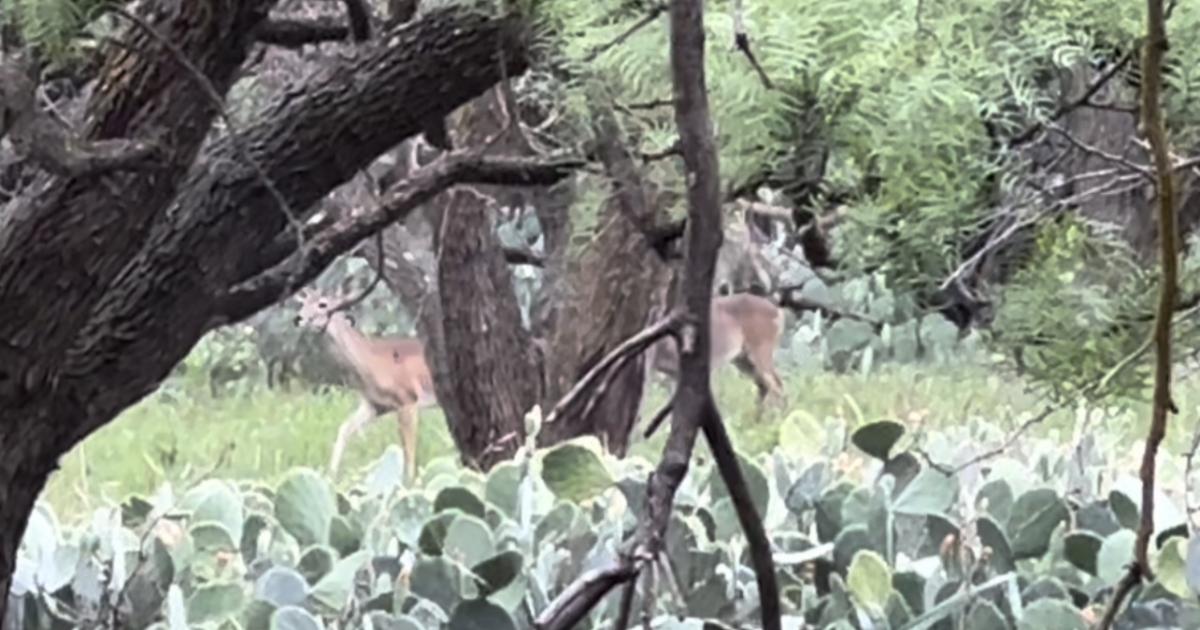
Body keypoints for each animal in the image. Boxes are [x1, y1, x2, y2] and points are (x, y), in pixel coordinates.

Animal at [293, 287, 436, 482]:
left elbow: (408, 449)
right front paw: (330, 476)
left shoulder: (408, 399)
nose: (298, 318)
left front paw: (409, 482)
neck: (372, 359)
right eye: (303, 303)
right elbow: (344, 428)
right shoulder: (374, 405)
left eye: (323, 304)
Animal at [648, 292, 786, 420]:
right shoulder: (672, 375)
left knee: (776, 384)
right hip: (742, 358)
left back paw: (777, 419)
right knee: (764, 385)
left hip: (761, 348)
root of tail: (778, 312)